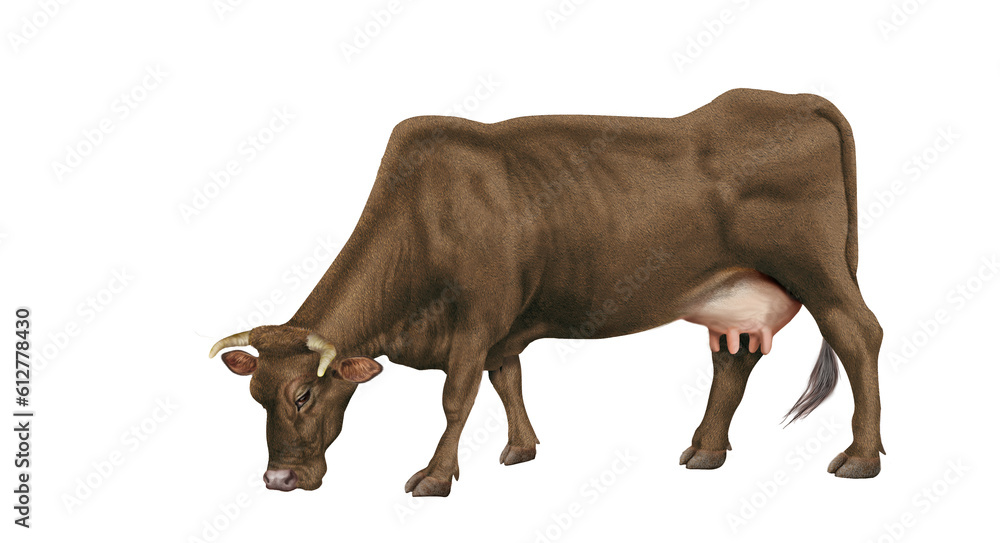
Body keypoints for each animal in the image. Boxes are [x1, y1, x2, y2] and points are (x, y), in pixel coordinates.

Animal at [209, 88, 884, 497]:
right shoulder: (504, 330)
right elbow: (507, 379)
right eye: (256, 395)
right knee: (733, 361)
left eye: (302, 395)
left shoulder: (478, 317)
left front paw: (436, 476)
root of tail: (791, 99)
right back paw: (705, 450)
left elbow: (457, 397)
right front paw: (520, 448)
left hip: (817, 267)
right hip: (735, 293)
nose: (278, 480)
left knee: (858, 334)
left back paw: (860, 458)